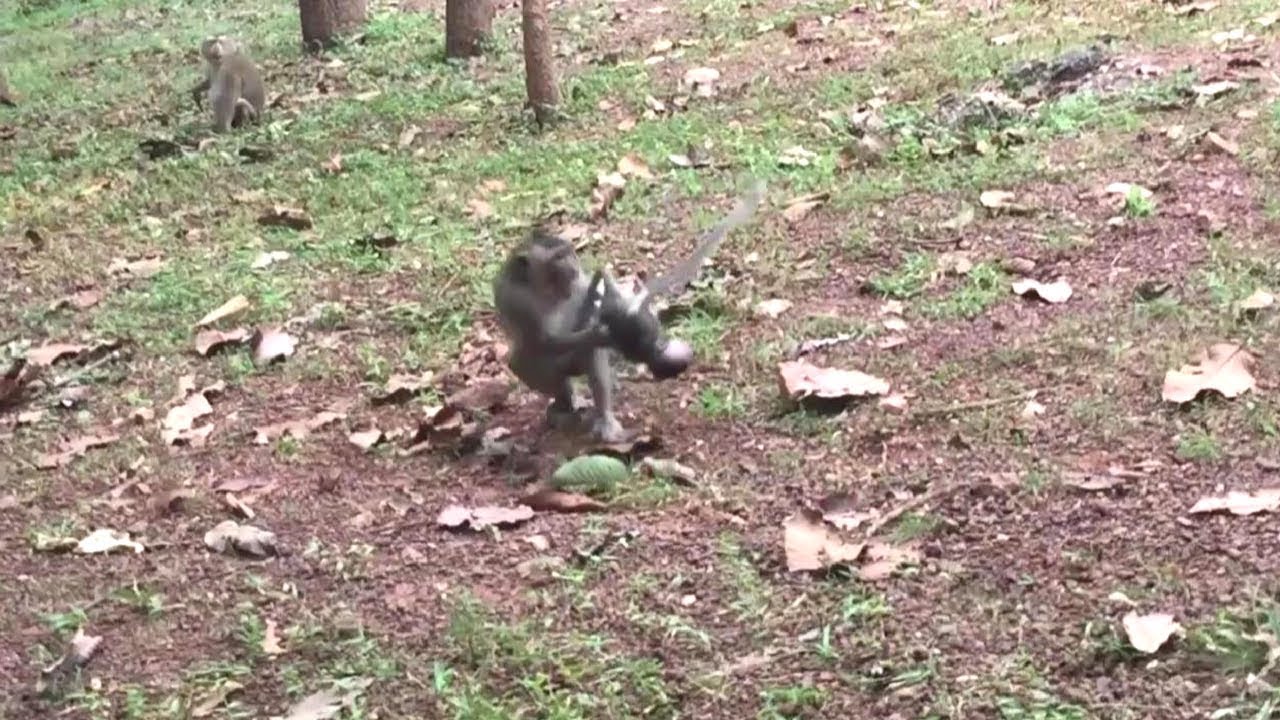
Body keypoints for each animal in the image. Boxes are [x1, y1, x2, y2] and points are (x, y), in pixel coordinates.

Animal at [493, 179, 766, 442]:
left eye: (567, 253)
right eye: (557, 258)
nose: (571, 263)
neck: (543, 287)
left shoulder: (576, 283)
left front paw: (603, 292)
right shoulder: (519, 299)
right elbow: (543, 340)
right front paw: (604, 329)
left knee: (590, 354)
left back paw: (603, 419)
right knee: (523, 361)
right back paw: (564, 402)